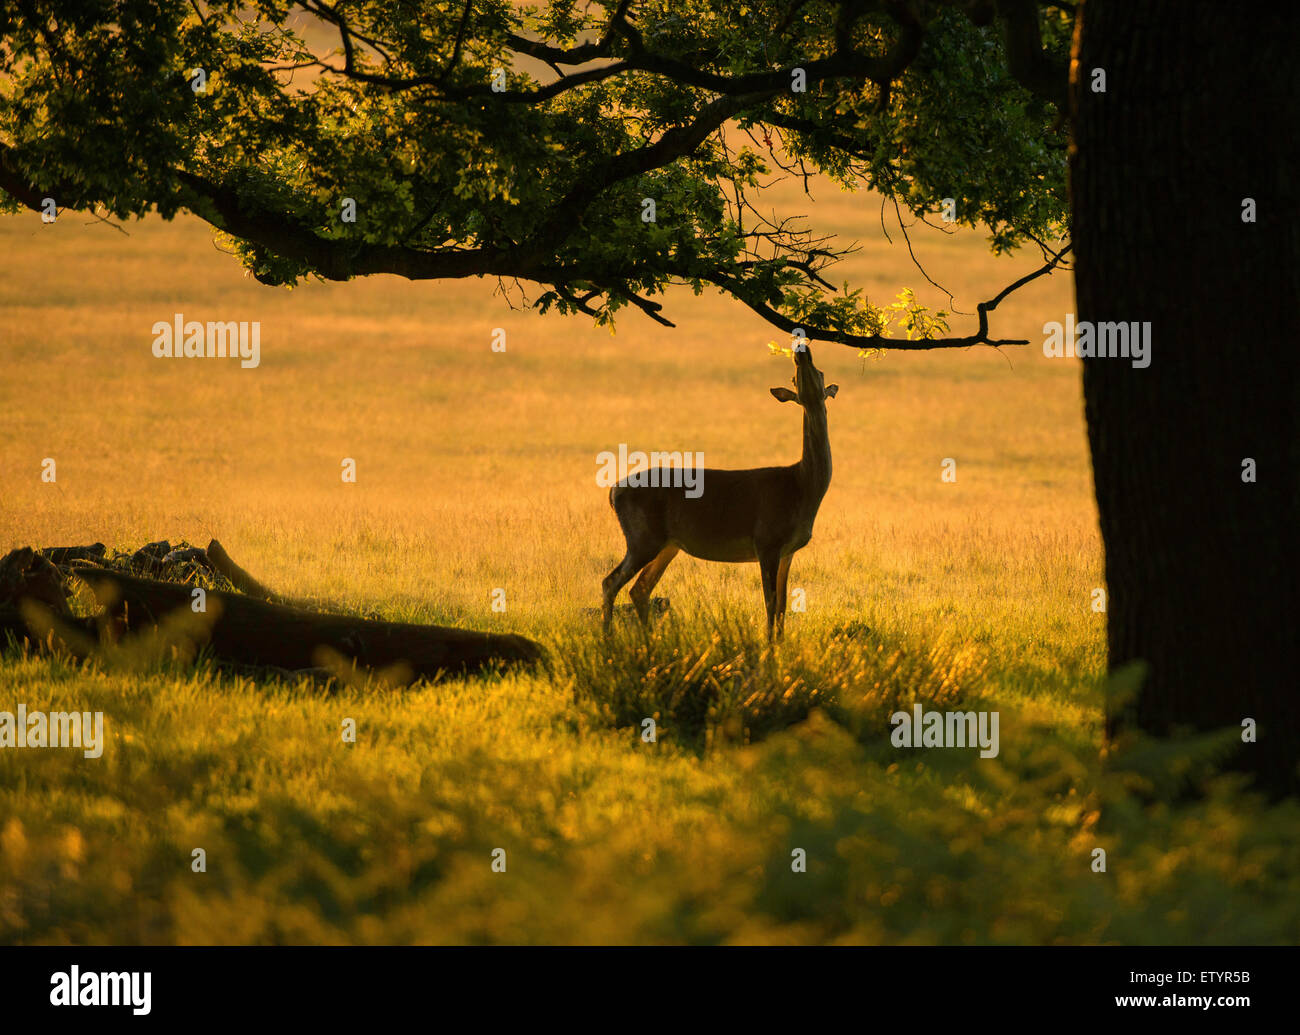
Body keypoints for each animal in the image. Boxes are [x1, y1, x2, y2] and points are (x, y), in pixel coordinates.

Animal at [602, 342, 838, 642]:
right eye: (795, 378)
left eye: (819, 372)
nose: (801, 350)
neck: (802, 487)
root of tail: (613, 491)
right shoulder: (766, 540)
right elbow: (770, 601)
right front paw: (768, 644)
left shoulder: (788, 550)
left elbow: (783, 604)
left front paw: (780, 643)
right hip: (642, 537)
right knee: (611, 582)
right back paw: (607, 638)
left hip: (667, 544)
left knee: (639, 588)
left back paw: (650, 640)